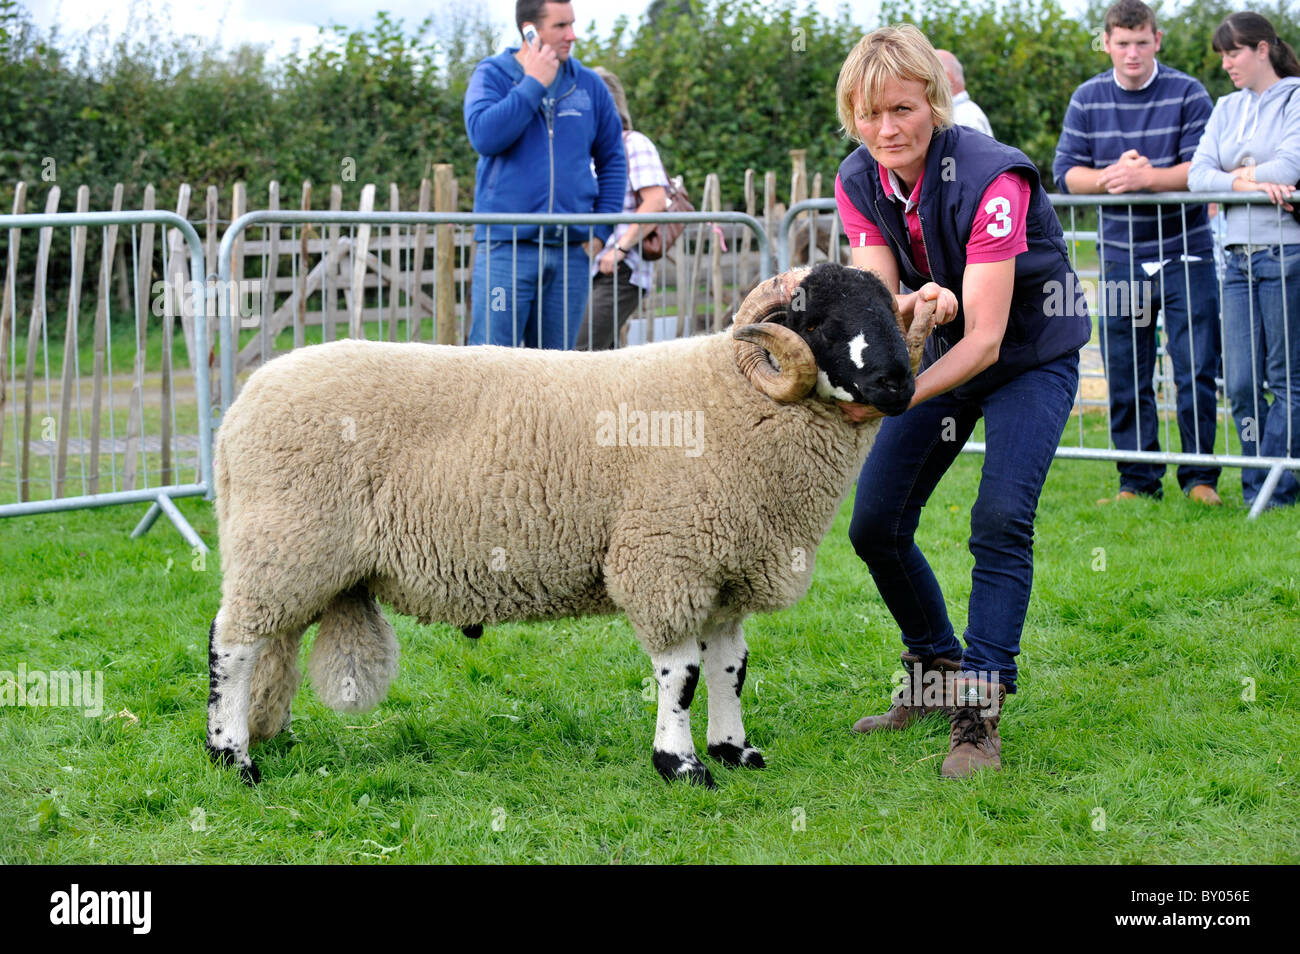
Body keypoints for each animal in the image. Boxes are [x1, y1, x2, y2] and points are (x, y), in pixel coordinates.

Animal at [206, 263, 935, 786]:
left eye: (890, 309)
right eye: (817, 318)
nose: (899, 384)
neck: (734, 397)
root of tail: (240, 407)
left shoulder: (723, 571)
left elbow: (730, 667)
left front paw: (736, 750)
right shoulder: (663, 559)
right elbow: (681, 673)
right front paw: (681, 765)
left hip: (298, 553)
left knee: (276, 640)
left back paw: (272, 733)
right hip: (286, 540)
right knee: (233, 643)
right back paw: (233, 758)